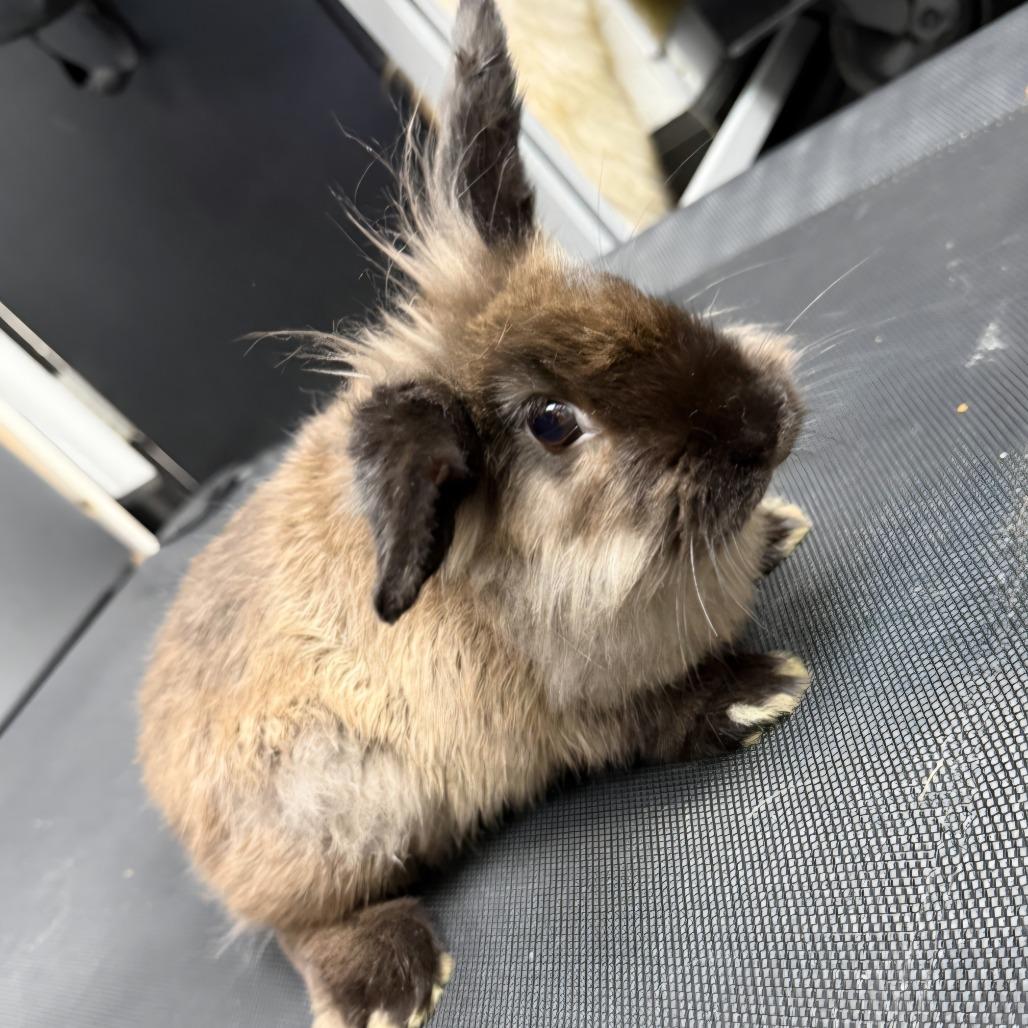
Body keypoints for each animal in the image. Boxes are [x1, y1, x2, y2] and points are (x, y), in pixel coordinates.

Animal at [138, 1, 814, 1025]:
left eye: (621, 293)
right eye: (552, 422)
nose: (764, 424)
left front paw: (778, 530)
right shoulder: (569, 716)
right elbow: (648, 721)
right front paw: (763, 686)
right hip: (334, 809)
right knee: (300, 925)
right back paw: (391, 984)